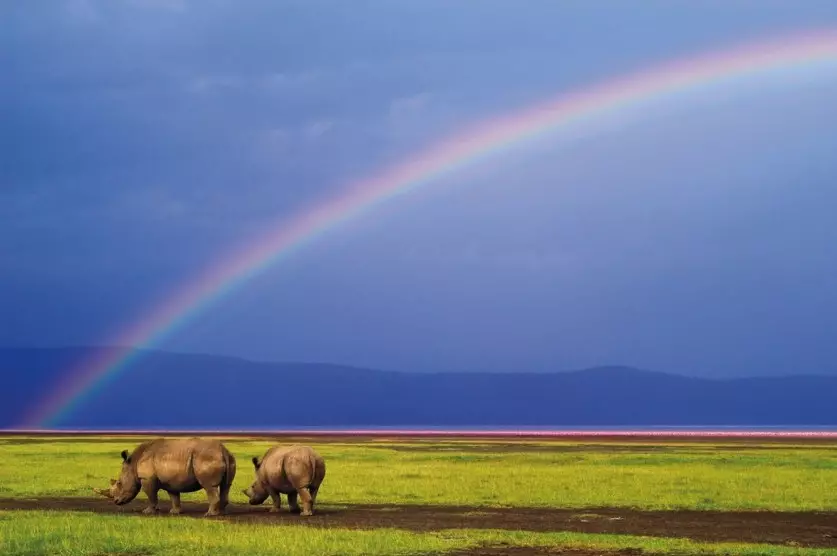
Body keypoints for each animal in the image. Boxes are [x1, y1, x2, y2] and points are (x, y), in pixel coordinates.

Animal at [94, 438, 235, 516]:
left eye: (119, 483)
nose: (116, 502)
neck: (133, 464)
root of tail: (222, 450)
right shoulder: (171, 481)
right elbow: (174, 496)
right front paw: (175, 512)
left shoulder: (147, 479)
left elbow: (151, 496)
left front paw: (147, 512)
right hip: (229, 457)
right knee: (226, 486)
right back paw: (221, 513)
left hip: (206, 458)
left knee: (209, 486)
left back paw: (210, 514)